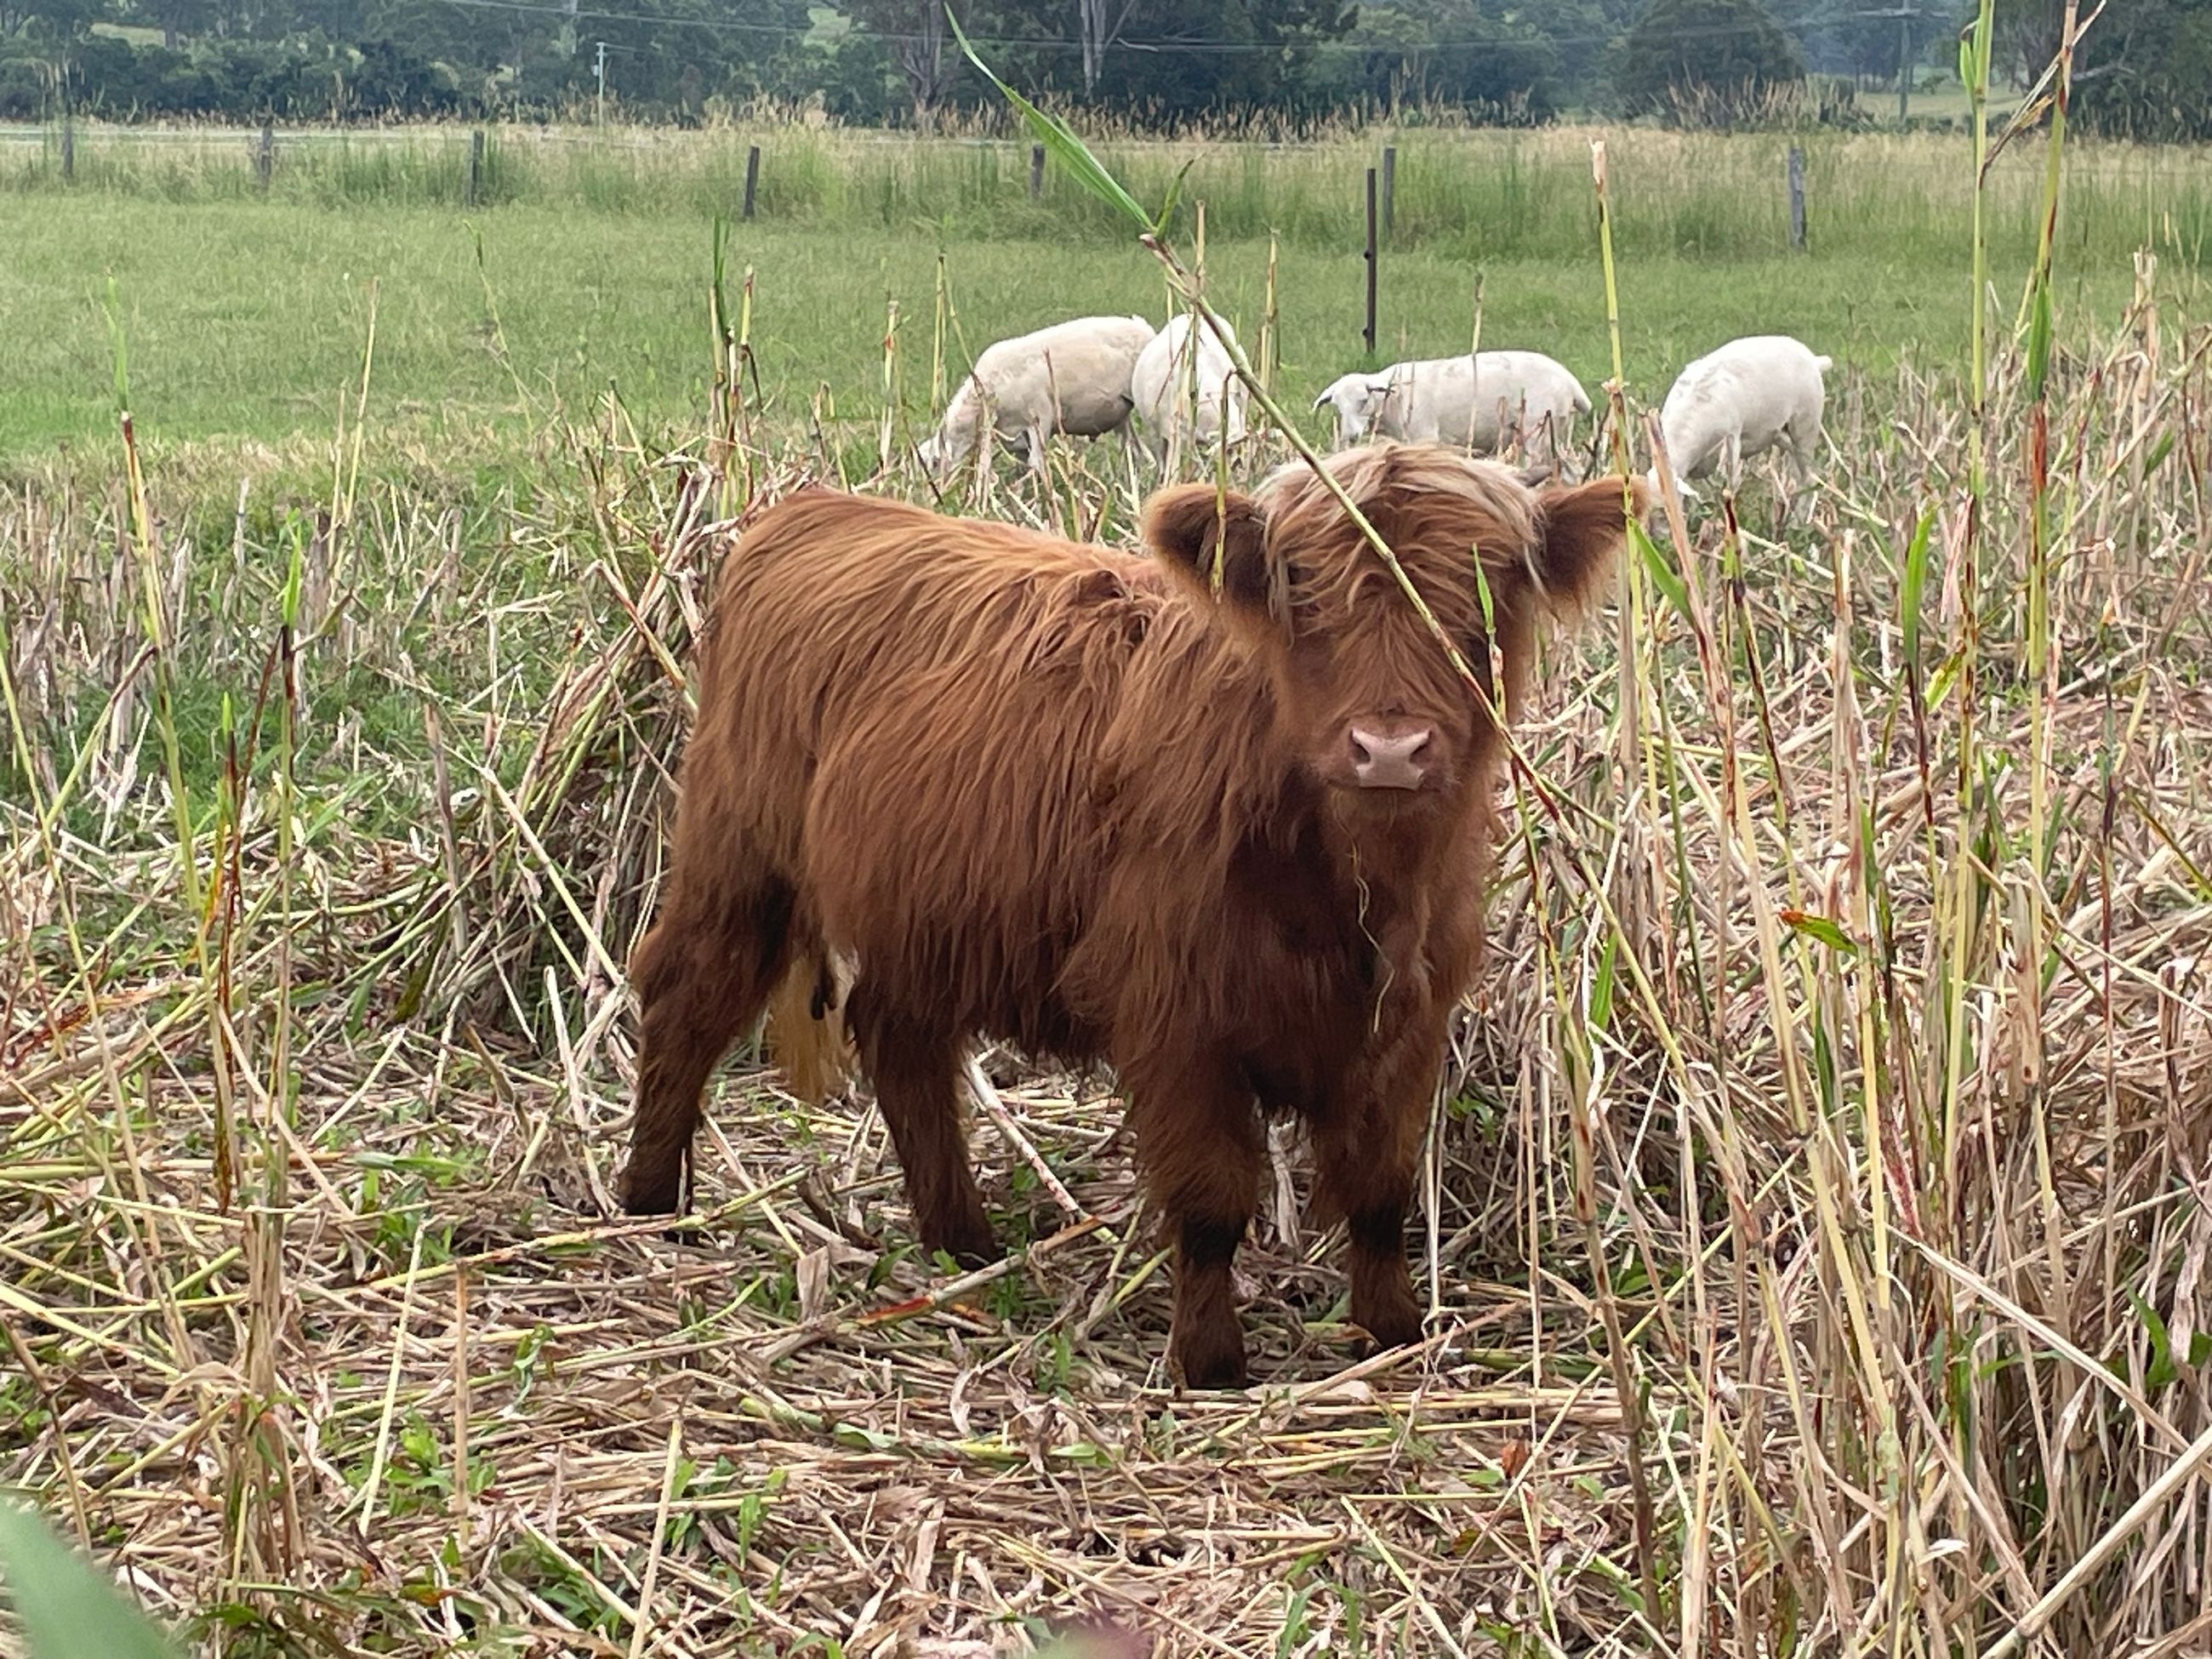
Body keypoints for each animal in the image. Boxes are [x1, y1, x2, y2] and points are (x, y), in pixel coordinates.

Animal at [621, 443, 1643, 1388]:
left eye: (1484, 596)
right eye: (1302, 593)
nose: (1387, 750)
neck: (1349, 881)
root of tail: (815, 511)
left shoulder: (1412, 1017)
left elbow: (1382, 1187)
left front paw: (1392, 1333)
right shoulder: (1175, 1012)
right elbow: (1210, 1200)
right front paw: (1213, 1363)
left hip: (927, 913)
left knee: (900, 1040)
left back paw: (962, 1238)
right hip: (740, 855)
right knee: (689, 996)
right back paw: (649, 1203)